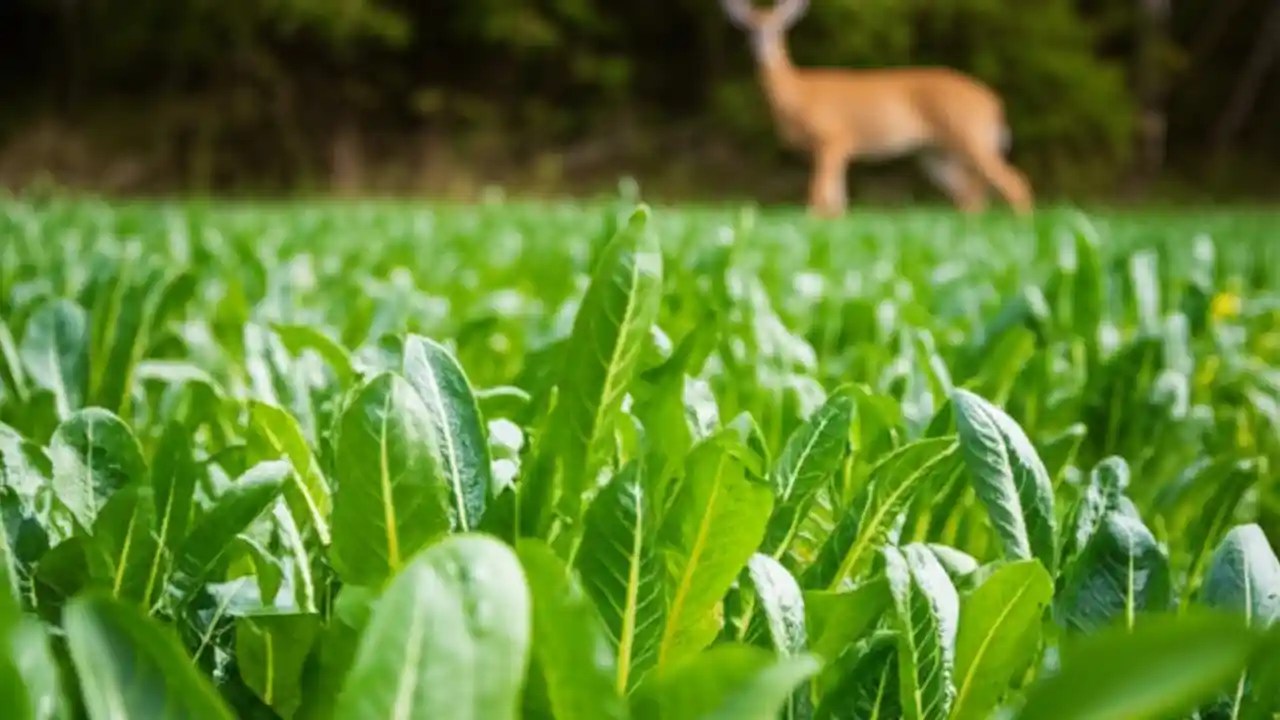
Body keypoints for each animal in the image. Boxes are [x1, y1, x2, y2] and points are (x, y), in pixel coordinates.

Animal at [721, 0, 1033, 217]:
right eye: (748, 28)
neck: (796, 94)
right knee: (970, 194)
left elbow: (819, 195)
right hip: (935, 153)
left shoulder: (833, 137)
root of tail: (993, 102)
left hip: (971, 134)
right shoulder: (834, 149)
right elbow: (838, 202)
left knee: (1014, 183)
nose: (759, 48)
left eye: (777, 29)